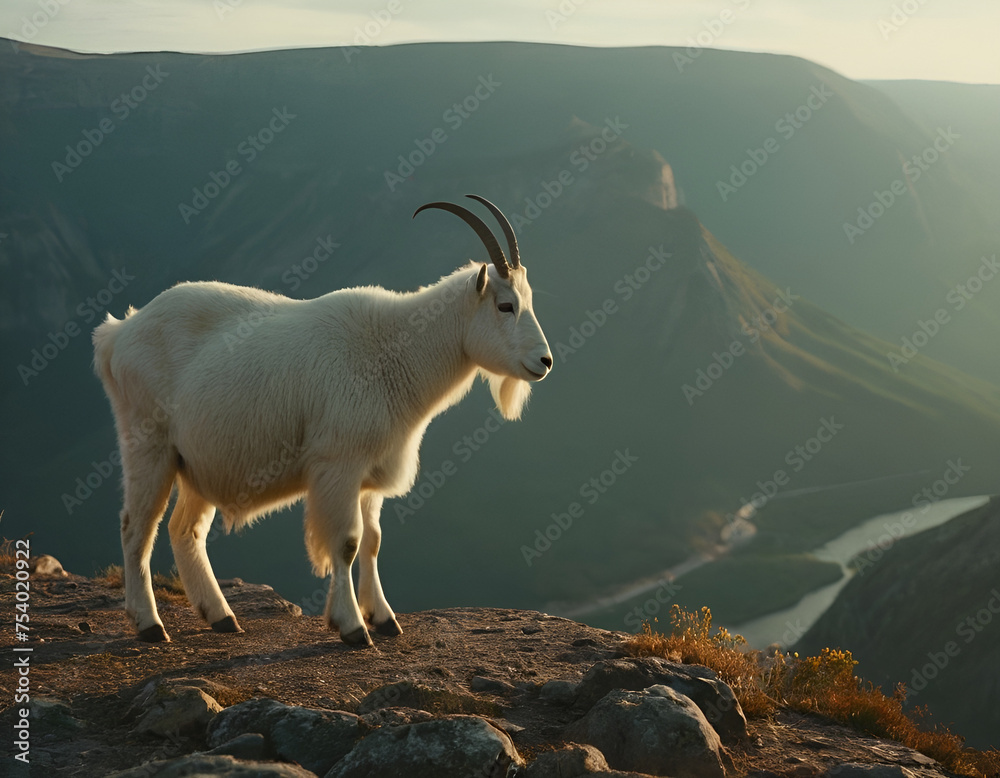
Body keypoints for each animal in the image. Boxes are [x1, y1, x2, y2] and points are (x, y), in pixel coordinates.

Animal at [92, 195, 552, 645]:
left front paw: (384, 619)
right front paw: (353, 627)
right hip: (148, 444)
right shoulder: (339, 465)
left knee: (184, 529)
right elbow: (347, 543)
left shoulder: (369, 472)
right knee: (136, 526)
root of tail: (118, 334)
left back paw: (222, 617)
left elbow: (373, 542)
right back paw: (150, 624)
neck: (394, 349)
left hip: (199, 463)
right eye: (505, 305)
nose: (544, 362)